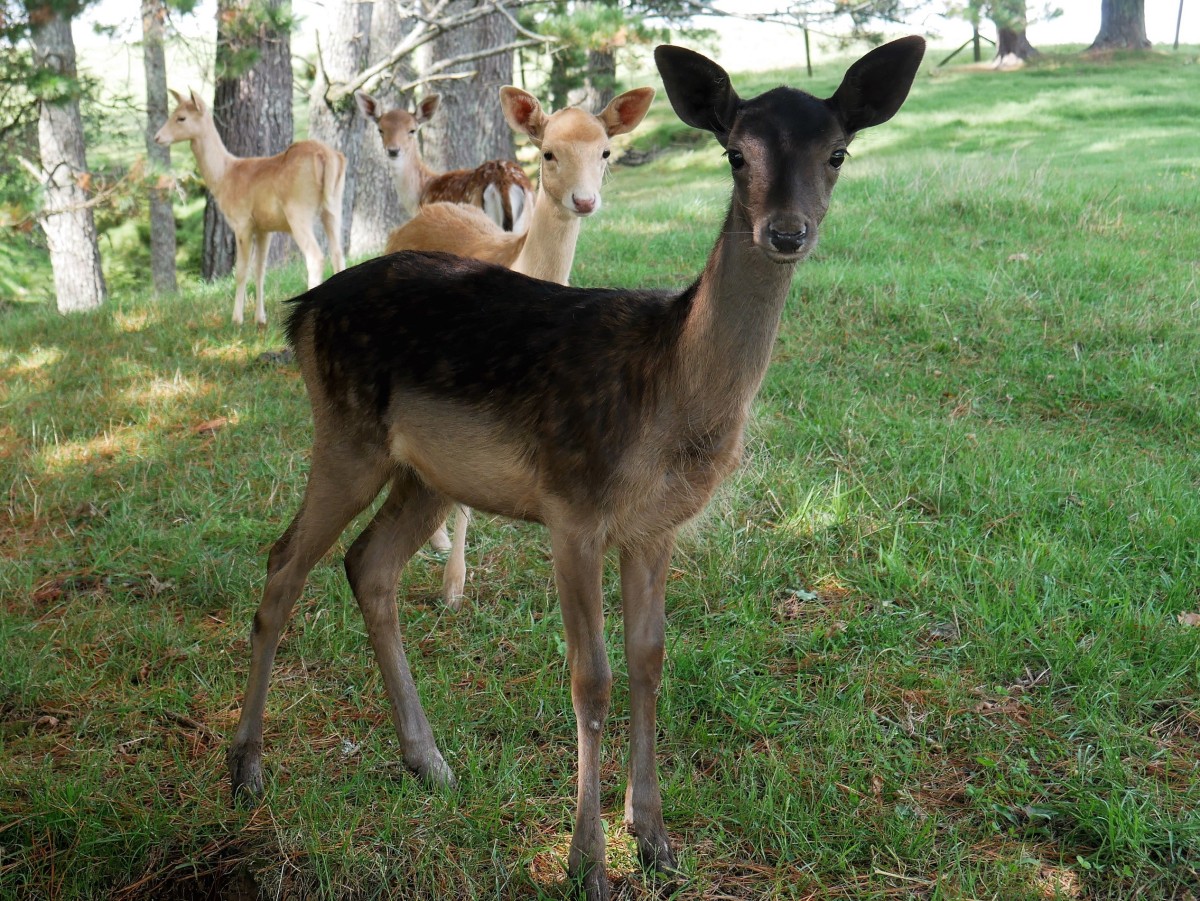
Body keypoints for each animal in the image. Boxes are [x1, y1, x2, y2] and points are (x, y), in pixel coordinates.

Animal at [155, 89, 347, 327]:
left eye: (181, 117)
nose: (157, 137)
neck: (224, 177)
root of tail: (327, 156)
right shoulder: (264, 228)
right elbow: (260, 269)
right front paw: (260, 319)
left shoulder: (241, 221)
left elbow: (241, 271)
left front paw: (237, 319)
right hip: (334, 206)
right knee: (338, 254)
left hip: (298, 210)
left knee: (316, 257)